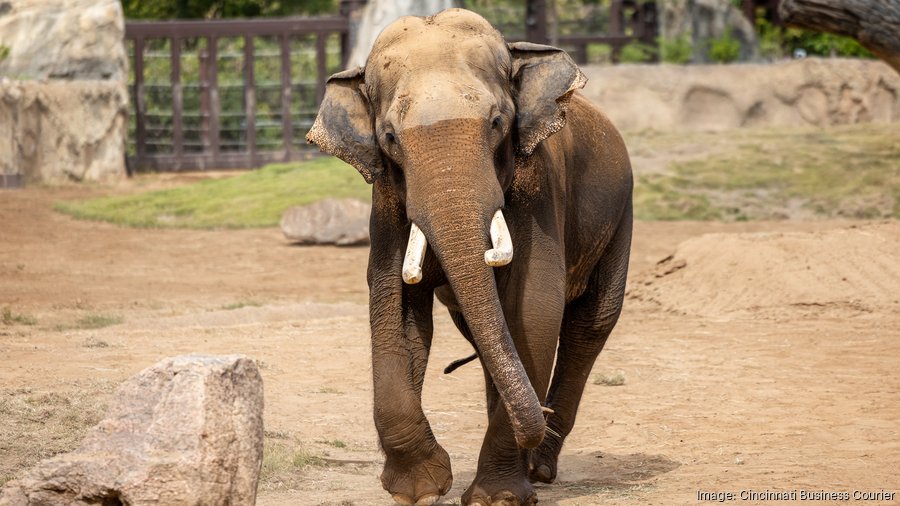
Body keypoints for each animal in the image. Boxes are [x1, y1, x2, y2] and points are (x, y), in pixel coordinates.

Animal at [307, 8, 632, 506]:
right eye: (390, 137)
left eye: (497, 122)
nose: (537, 423)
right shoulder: (387, 203)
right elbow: (395, 308)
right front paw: (420, 489)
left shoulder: (539, 187)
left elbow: (533, 305)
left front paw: (495, 498)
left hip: (621, 215)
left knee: (590, 324)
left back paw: (540, 467)